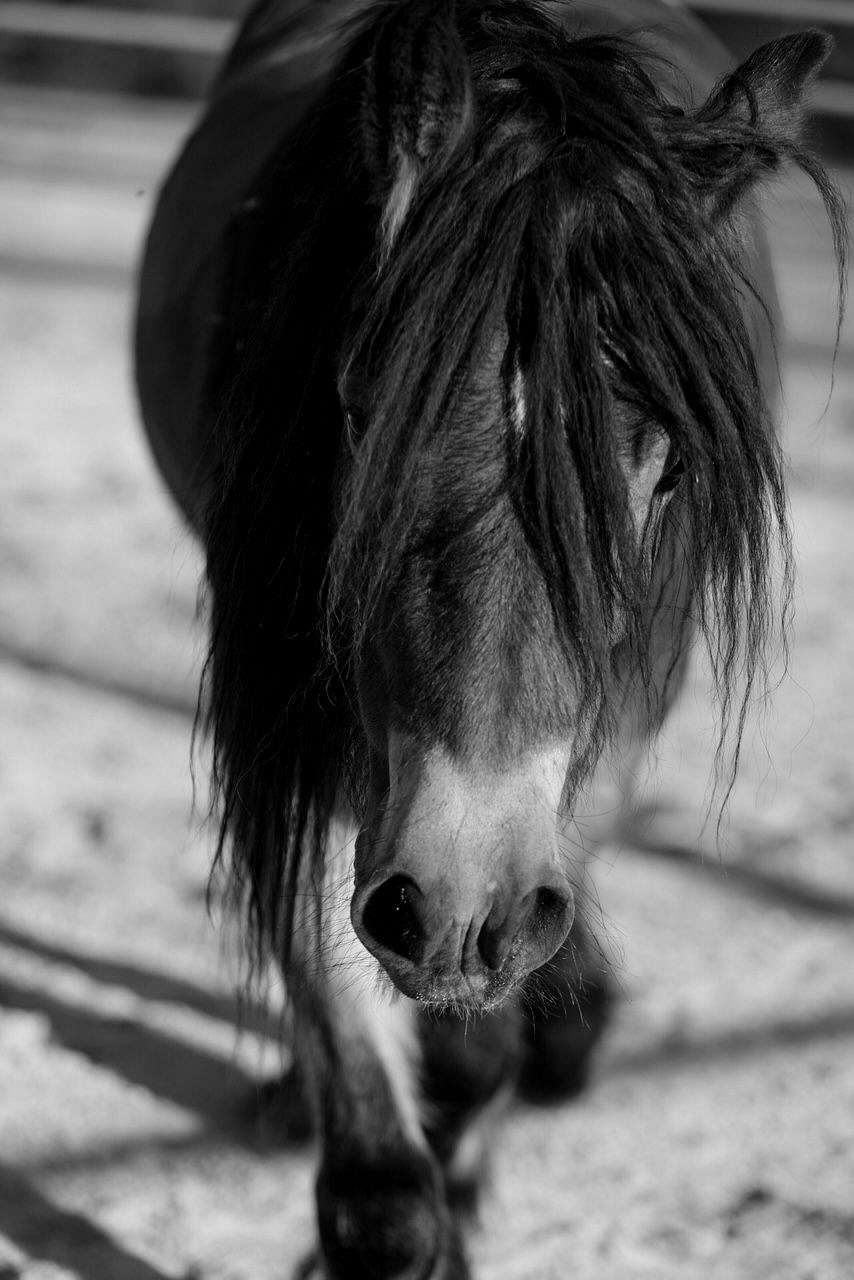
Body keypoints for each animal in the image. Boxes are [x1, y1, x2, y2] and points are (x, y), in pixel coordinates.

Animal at [135, 1, 845, 1276]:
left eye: (663, 472)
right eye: (359, 419)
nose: (462, 902)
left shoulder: (598, 735)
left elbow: (474, 1045)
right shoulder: (293, 741)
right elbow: (375, 1181)